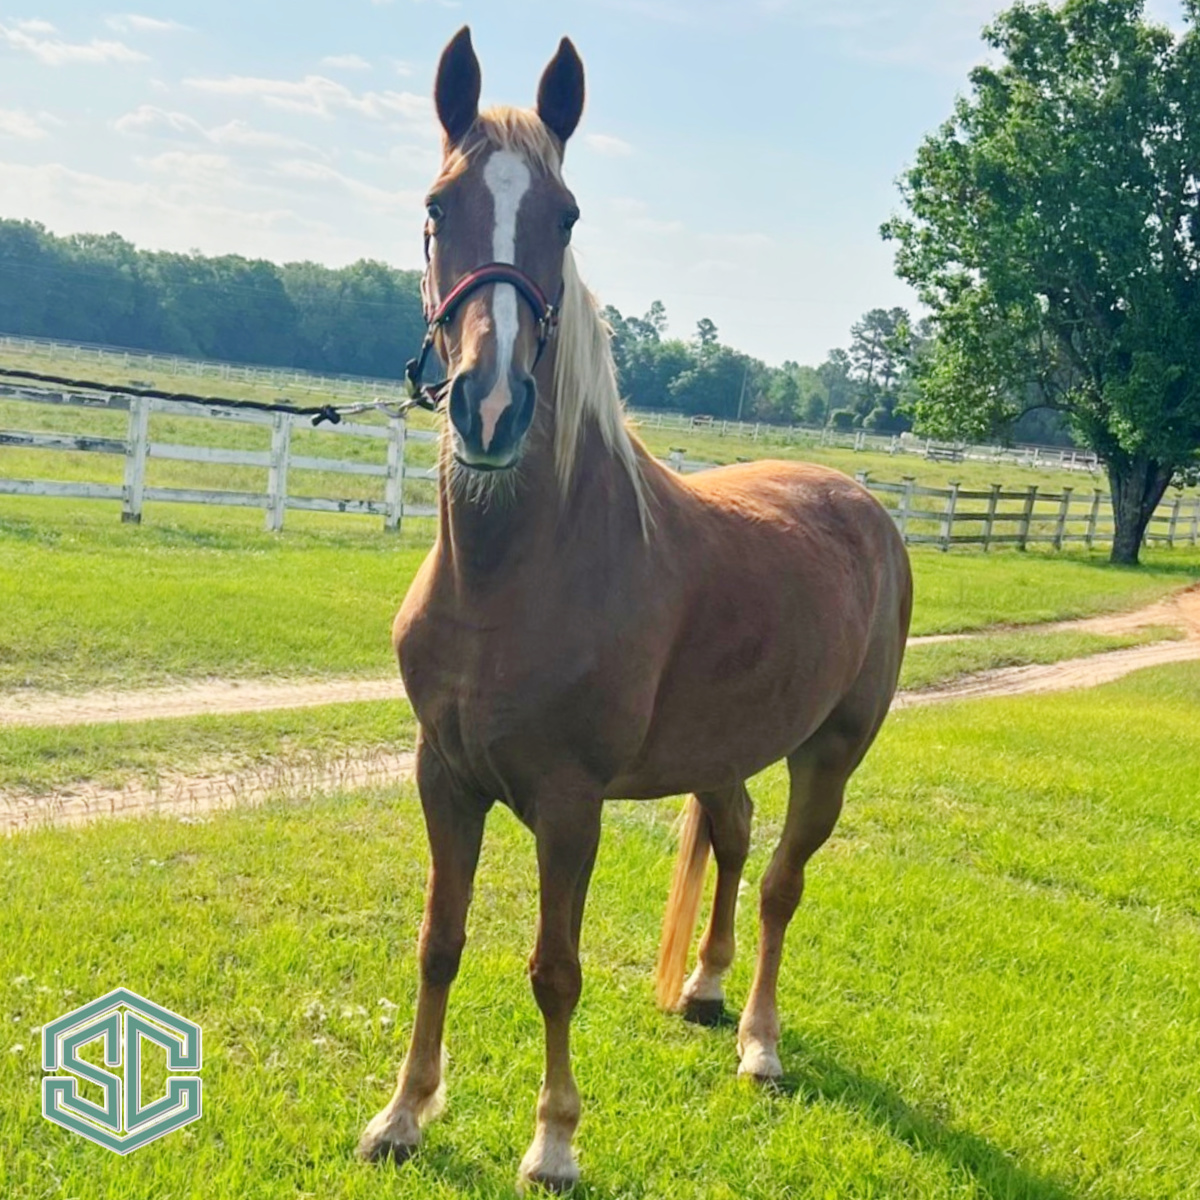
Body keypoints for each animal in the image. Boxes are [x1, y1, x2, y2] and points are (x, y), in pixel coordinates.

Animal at [357, 26, 912, 1191]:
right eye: (438, 207)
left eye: (566, 217)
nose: (490, 407)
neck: (516, 573)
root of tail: (863, 507)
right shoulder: (444, 779)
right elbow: (440, 943)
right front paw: (404, 1114)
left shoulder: (571, 807)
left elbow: (553, 969)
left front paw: (555, 1139)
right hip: (728, 749)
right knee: (737, 840)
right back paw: (703, 989)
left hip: (831, 754)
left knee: (782, 884)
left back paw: (759, 1041)